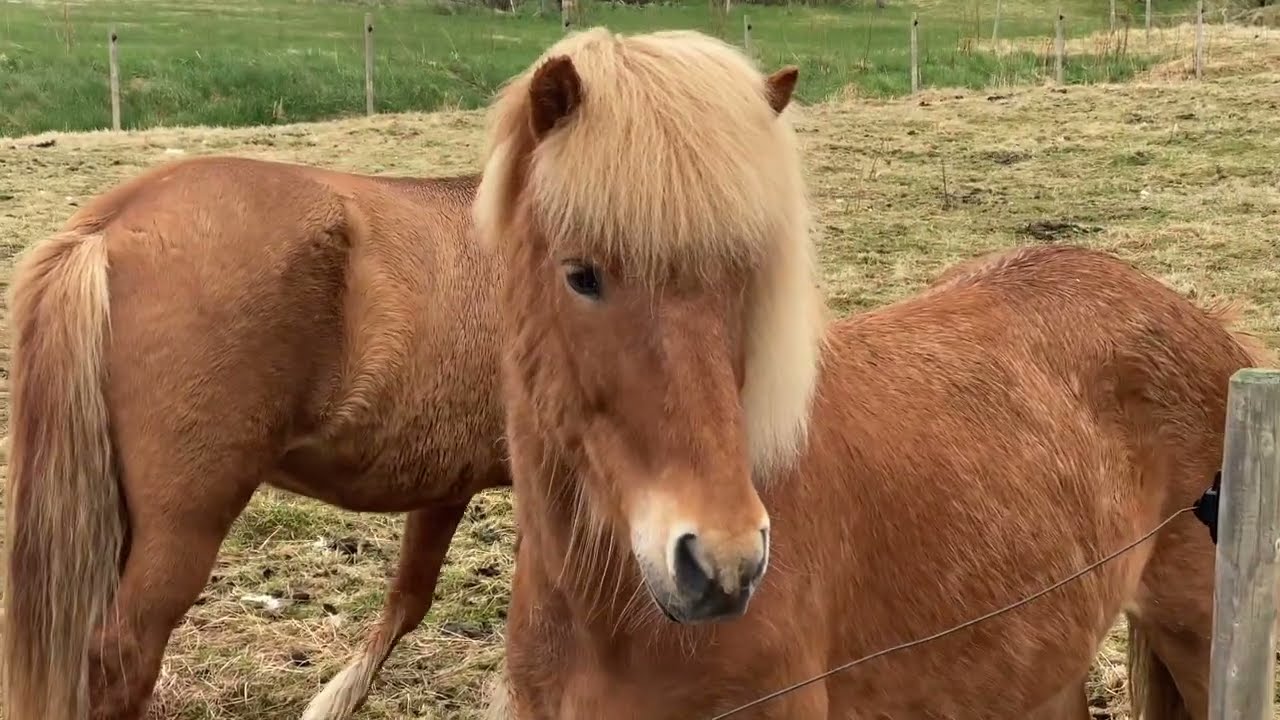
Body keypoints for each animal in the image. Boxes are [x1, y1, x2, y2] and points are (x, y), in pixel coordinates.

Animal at [472, 27, 1273, 719]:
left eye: (747, 275)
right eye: (581, 275)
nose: (725, 565)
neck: (604, 623)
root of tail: (1214, 326)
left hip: (1201, 637)